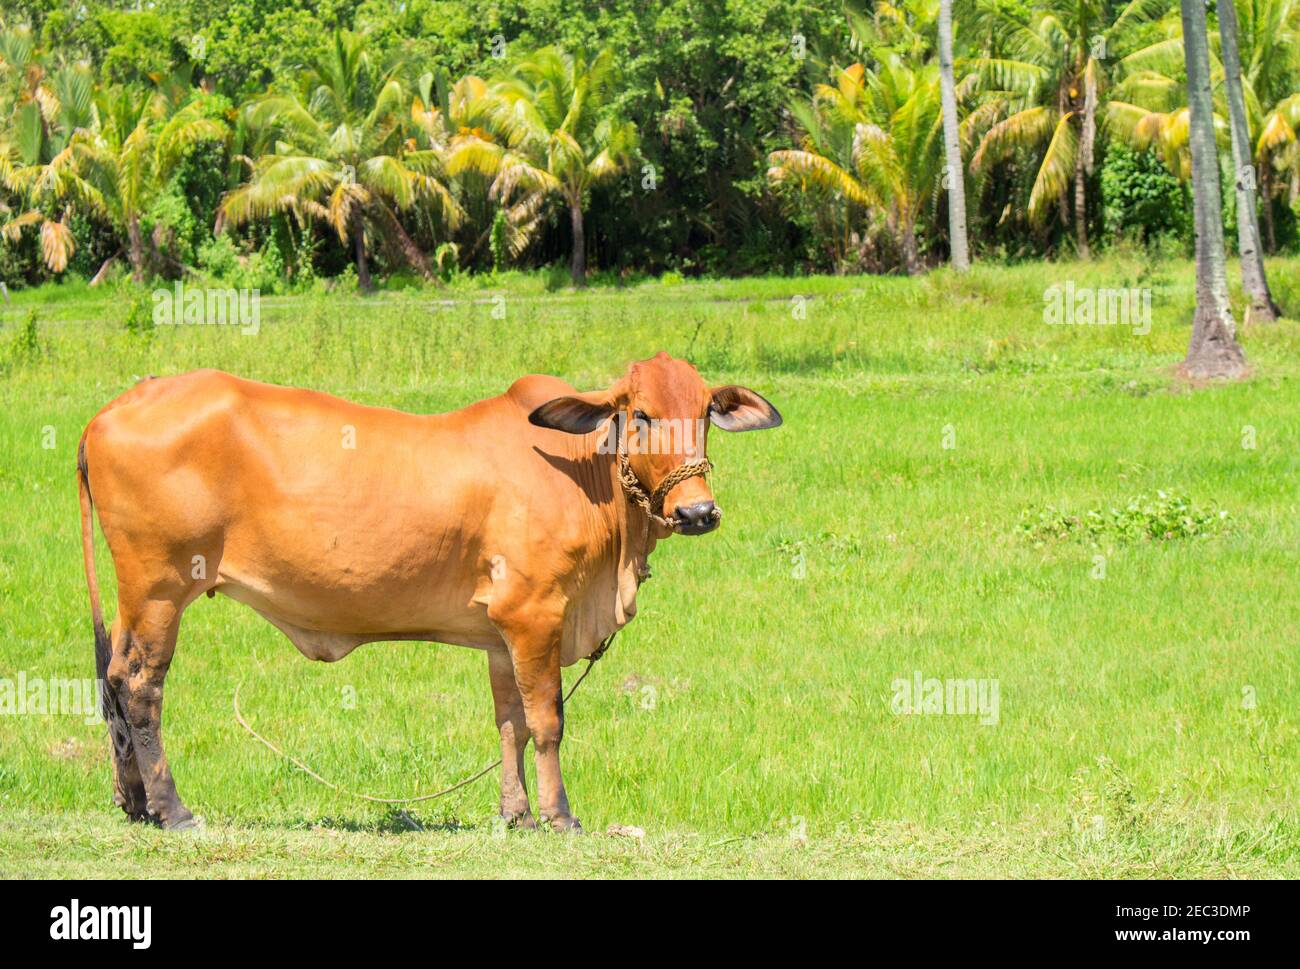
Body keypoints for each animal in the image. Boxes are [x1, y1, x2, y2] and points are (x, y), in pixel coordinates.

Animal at [77, 352, 781, 832]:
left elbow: (509, 722)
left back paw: (135, 803)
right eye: (641, 415)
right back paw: (172, 809)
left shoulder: (502, 633)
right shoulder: (536, 613)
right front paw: (559, 816)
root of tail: (113, 409)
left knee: (113, 681)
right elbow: (547, 721)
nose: (697, 512)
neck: (585, 475)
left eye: (704, 413)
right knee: (139, 686)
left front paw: (516, 814)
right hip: (159, 589)